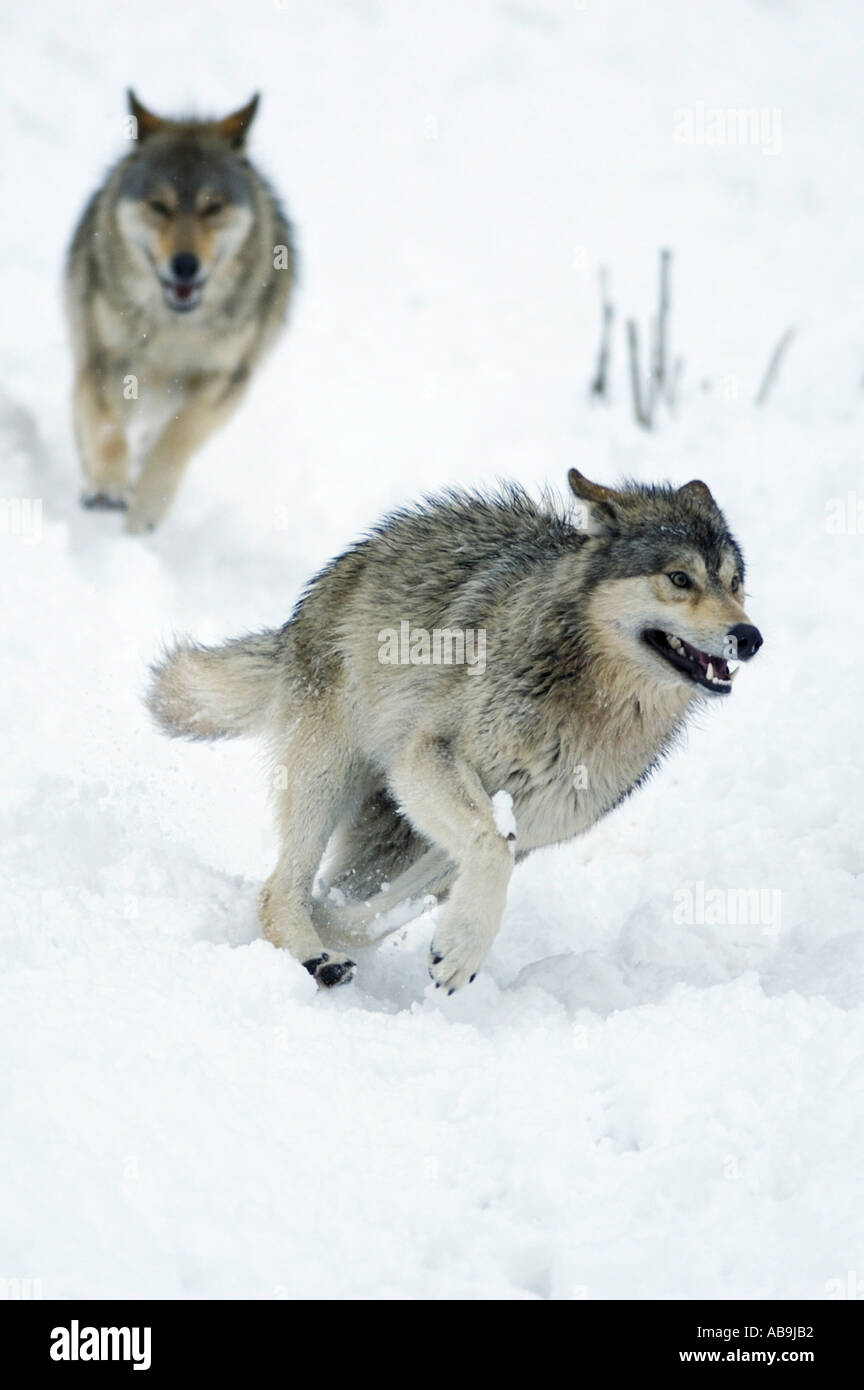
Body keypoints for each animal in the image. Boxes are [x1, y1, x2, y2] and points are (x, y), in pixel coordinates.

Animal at [65, 91, 295, 535]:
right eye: (160, 206)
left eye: (212, 208)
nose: (185, 265)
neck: (175, 328)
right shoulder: (107, 358)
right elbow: (106, 426)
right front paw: (108, 486)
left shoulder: (225, 379)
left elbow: (179, 437)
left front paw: (147, 509)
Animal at [146, 470, 763, 992]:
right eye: (679, 579)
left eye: (734, 584)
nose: (750, 637)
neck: (589, 699)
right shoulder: (425, 758)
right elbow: (489, 847)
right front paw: (462, 949)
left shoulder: (529, 830)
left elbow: (389, 908)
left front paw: (430, 943)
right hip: (330, 773)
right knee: (278, 890)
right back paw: (312, 953)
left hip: (389, 837)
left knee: (332, 889)